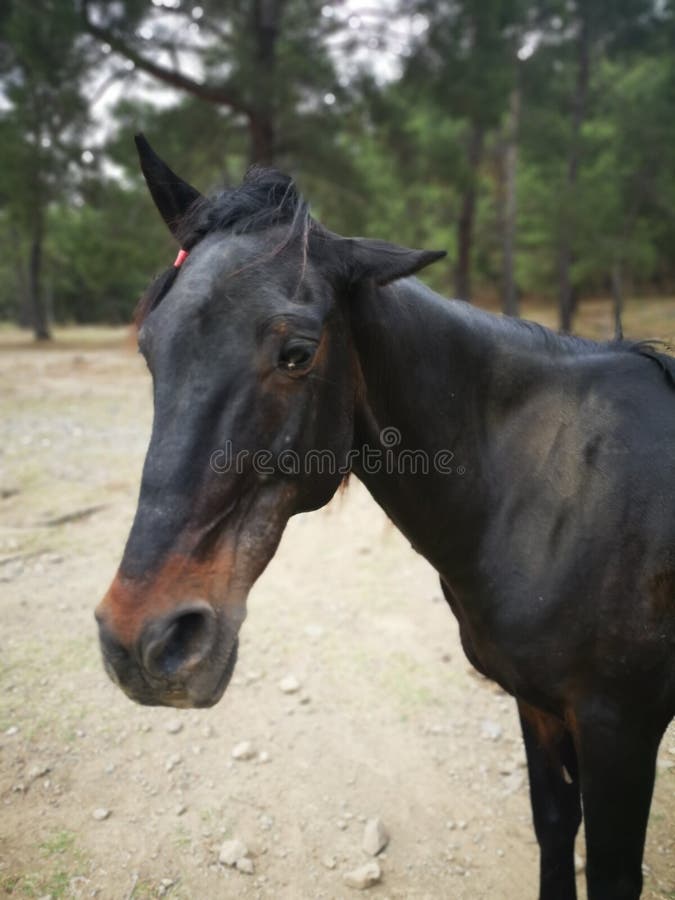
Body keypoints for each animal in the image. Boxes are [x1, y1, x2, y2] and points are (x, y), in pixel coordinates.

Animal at [96, 135, 675, 900]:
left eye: (297, 353)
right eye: (148, 347)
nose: (141, 643)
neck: (554, 490)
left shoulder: (620, 730)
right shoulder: (538, 707)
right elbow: (554, 829)